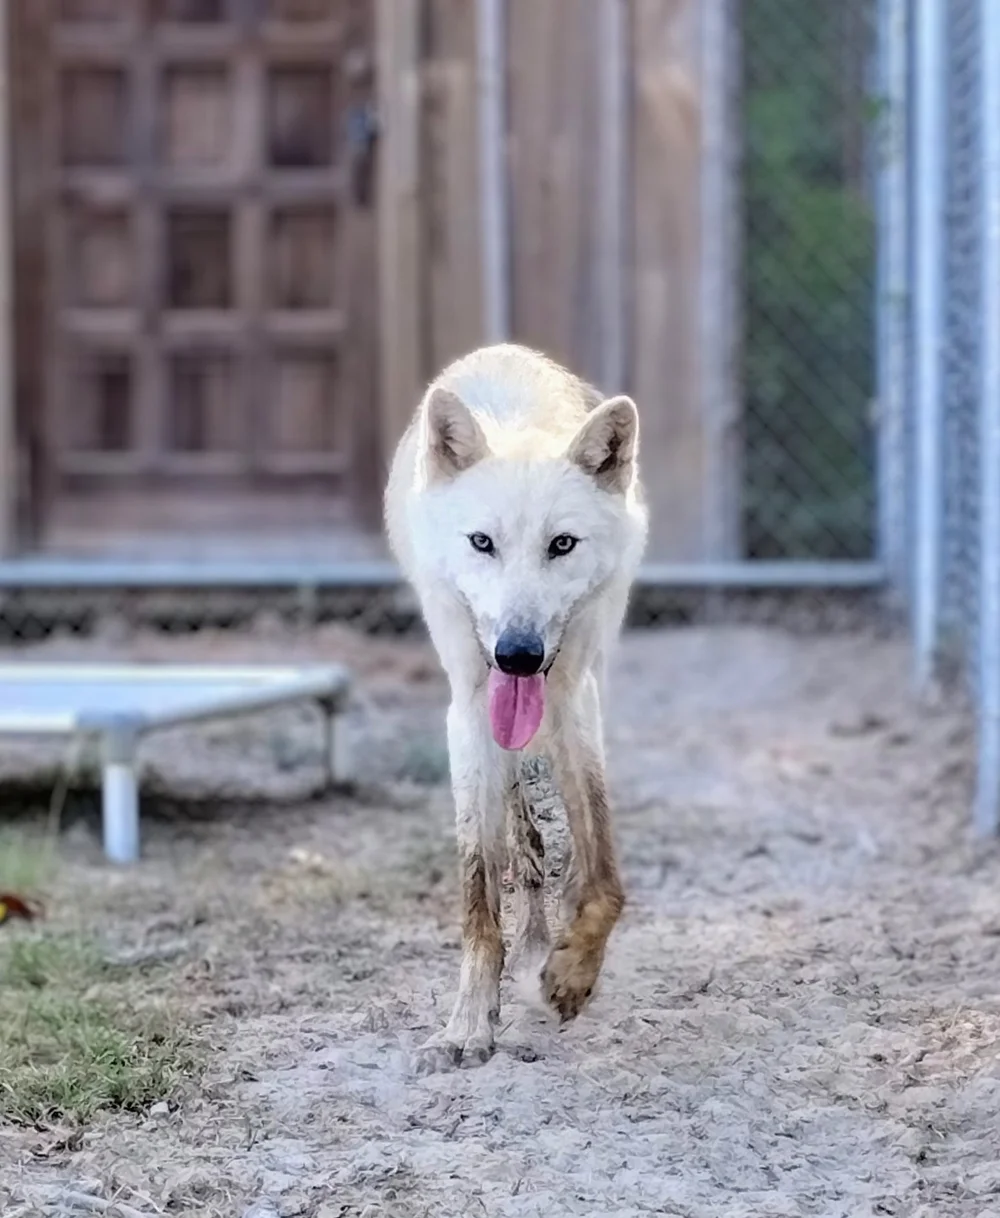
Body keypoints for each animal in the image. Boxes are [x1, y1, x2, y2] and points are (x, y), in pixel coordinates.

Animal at [384, 343, 648, 1069]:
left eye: (562, 544)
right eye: (482, 542)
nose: (519, 655)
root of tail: (505, 350)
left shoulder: (575, 697)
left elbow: (604, 869)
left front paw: (571, 975)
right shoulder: (472, 710)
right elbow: (480, 890)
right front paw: (471, 1022)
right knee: (521, 843)